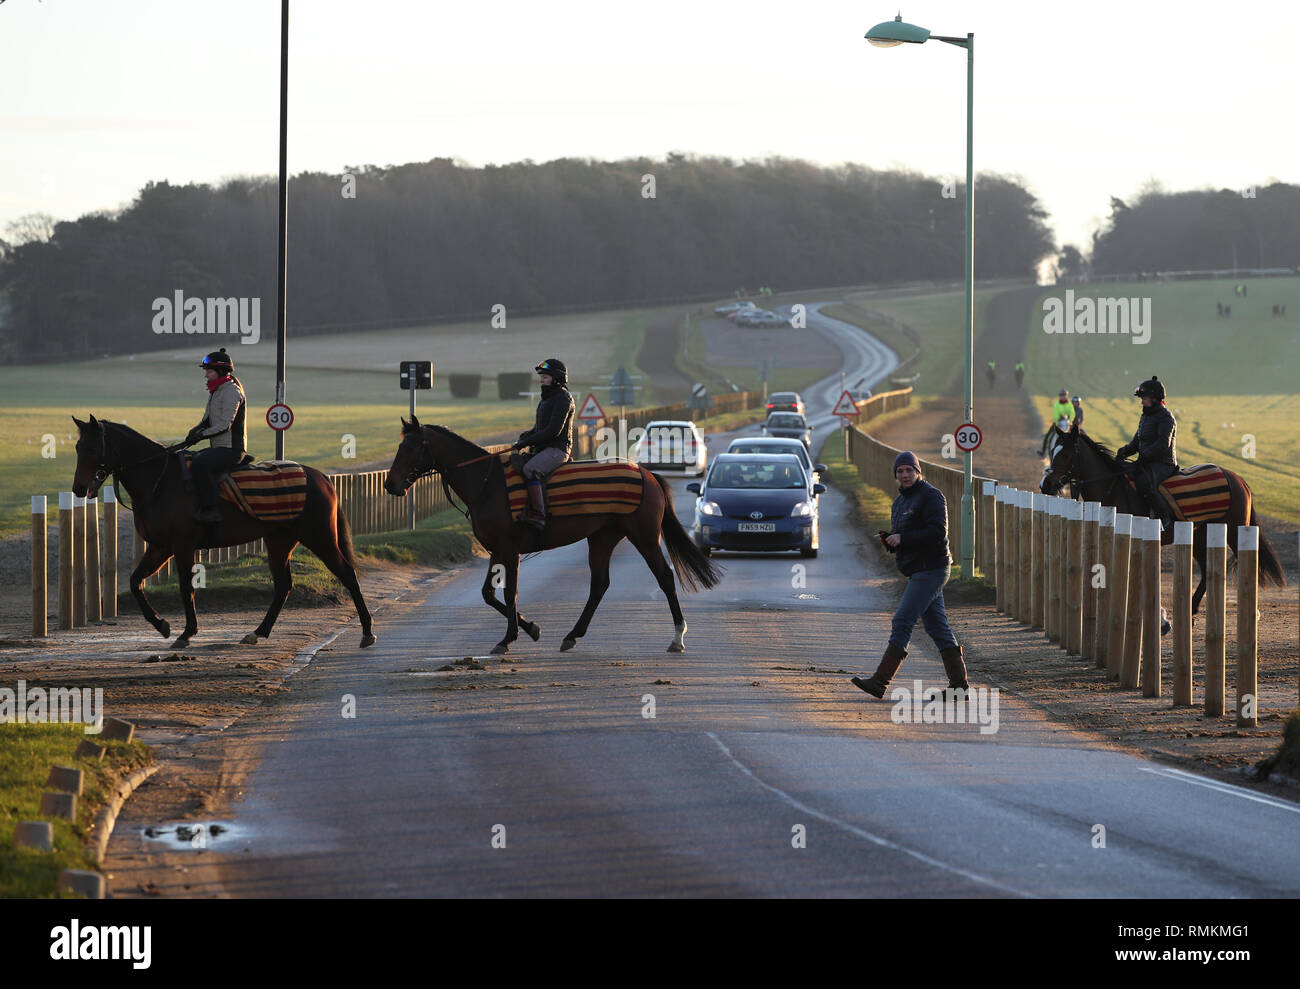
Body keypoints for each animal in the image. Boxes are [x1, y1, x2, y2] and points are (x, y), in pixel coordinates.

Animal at [69, 415, 377, 647]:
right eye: (77, 447)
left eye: (92, 448)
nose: (79, 488)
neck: (160, 481)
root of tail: (320, 477)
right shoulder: (160, 547)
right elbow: (135, 582)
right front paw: (162, 625)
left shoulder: (182, 546)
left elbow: (185, 587)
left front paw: (186, 632)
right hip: (279, 541)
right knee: (283, 585)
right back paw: (258, 632)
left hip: (320, 537)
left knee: (347, 573)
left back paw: (367, 631)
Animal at [384, 415, 722, 655]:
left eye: (411, 447)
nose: (390, 484)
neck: (487, 482)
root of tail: (647, 473)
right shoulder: (496, 549)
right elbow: (489, 594)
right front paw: (531, 628)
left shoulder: (509, 548)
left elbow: (509, 592)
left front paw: (509, 638)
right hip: (602, 538)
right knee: (599, 585)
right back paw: (572, 635)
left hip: (645, 537)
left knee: (664, 577)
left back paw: (678, 637)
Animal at [1040, 421, 1284, 613]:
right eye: (1052, 452)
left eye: (1065, 454)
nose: (1045, 485)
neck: (1113, 486)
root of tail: (1237, 479)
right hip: (1201, 534)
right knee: (1207, 571)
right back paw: (1192, 608)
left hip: (1235, 529)